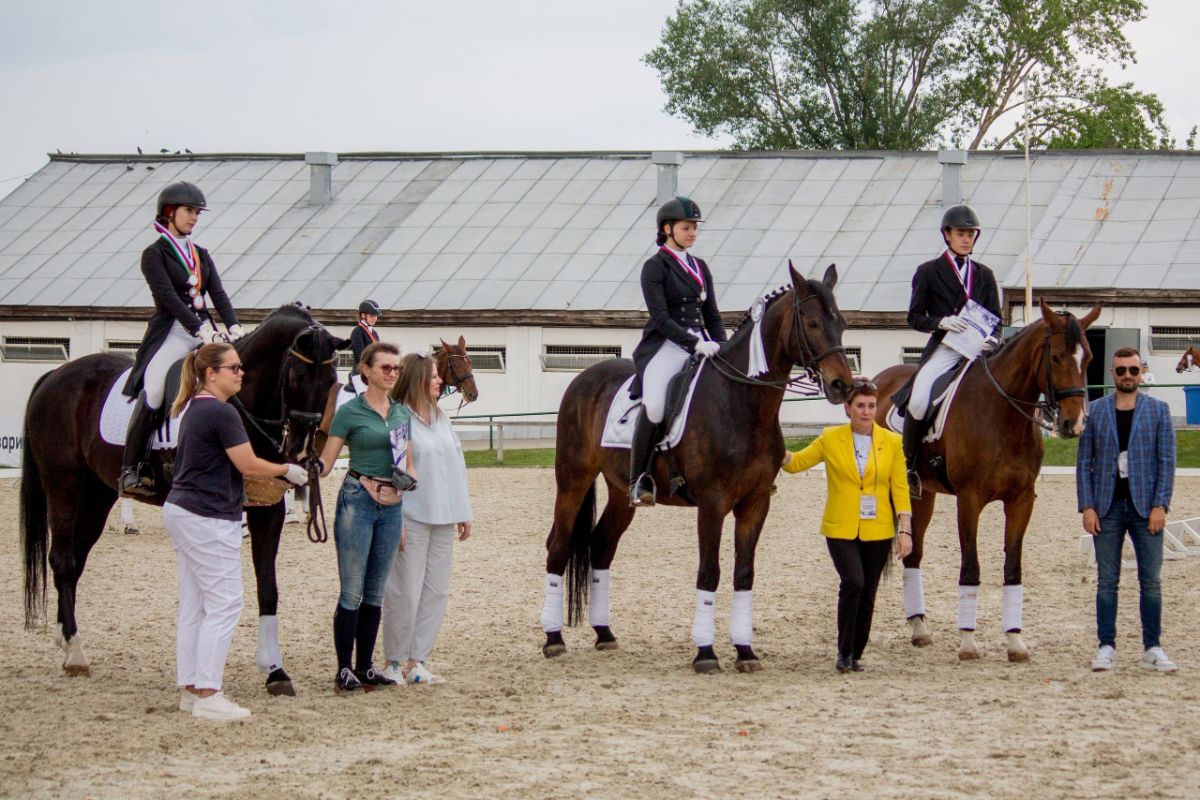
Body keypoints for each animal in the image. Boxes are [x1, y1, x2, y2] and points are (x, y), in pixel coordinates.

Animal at [21, 304, 350, 695]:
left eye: (331, 380)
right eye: (297, 376)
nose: (300, 452)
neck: (242, 402)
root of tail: (55, 375)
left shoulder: (267, 509)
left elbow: (268, 588)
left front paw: (275, 671)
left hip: (97, 493)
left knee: (75, 560)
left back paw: (64, 637)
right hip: (64, 485)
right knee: (62, 559)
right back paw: (74, 652)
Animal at [540, 266, 859, 671]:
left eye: (843, 324)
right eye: (812, 322)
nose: (842, 386)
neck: (742, 403)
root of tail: (584, 378)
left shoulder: (756, 503)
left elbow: (744, 573)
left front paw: (745, 651)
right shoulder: (712, 504)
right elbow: (709, 572)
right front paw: (705, 653)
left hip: (621, 492)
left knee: (601, 545)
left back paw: (604, 634)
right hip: (572, 479)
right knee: (558, 546)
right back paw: (553, 638)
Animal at [868, 302, 1099, 662]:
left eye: (1087, 358)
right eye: (1057, 357)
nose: (1074, 424)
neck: (1004, 414)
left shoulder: (1021, 501)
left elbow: (1013, 568)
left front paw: (1015, 641)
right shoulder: (969, 500)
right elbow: (971, 567)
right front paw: (968, 642)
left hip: (922, 495)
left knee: (913, 554)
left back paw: (919, 628)